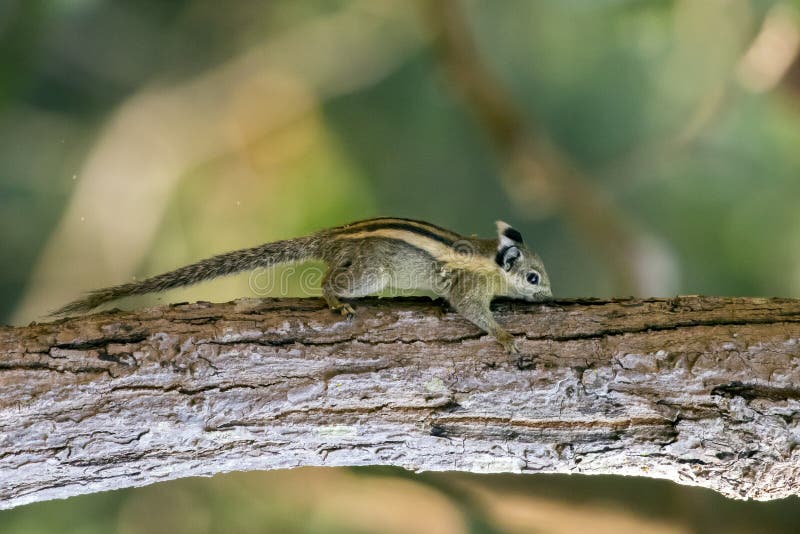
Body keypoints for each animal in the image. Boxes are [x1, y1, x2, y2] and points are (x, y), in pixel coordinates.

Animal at [51, 217, 552, 353]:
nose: (548, 293)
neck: (490, 259)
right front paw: (506, 337)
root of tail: (331, 239)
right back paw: (334, 301)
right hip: (368, 272)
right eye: (533, 277)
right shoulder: (469, 290)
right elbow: (473, 312)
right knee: (331, 282)